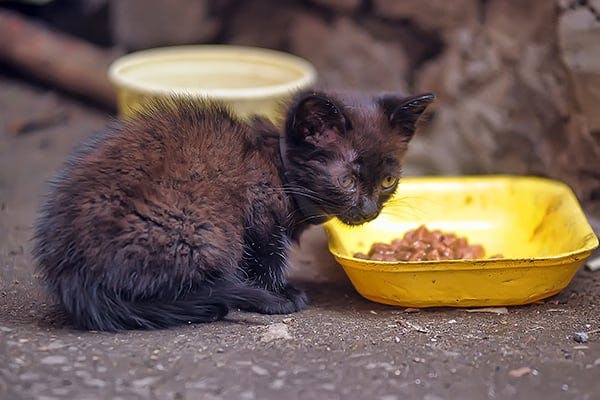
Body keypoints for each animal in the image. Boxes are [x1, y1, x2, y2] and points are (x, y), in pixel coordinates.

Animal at [32, 90, 434, 332]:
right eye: (347, 180)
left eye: (387, 180)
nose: (369, 210)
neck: (279, 168)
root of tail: (72, 276)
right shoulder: (258, 216)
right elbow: (266, 260)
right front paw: (280, 297)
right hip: (207, 227)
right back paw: (217, 302)